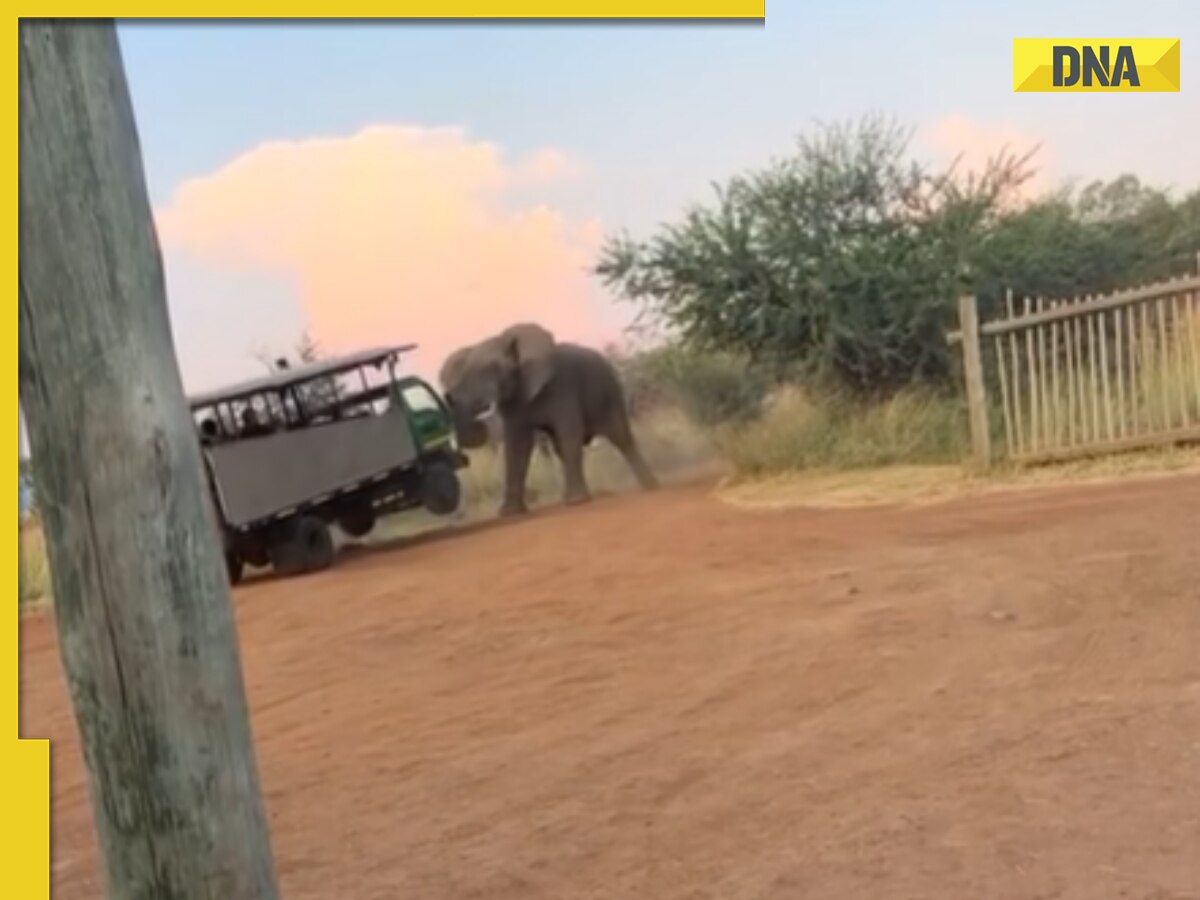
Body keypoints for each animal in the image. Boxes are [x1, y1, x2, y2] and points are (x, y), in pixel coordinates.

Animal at [439, 322, 659, 516]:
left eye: (495, 368)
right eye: (465, 374)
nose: (447, 398)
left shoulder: (562, 386)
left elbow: (569, 433)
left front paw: (577, 502)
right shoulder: (515, 399)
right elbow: (517, 446)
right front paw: (509, 513)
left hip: (610, 391)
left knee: (621, 437)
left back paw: (650, 487)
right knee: (560, 447)